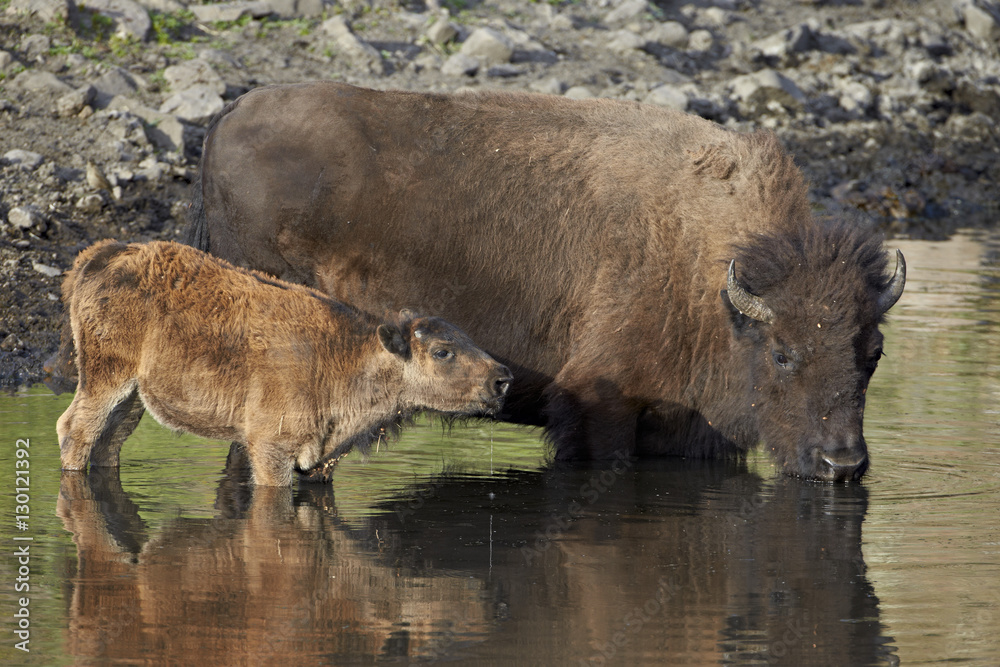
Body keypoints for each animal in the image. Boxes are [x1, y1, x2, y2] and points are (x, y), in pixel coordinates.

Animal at [56, 239, 512, 486]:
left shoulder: (322, 462)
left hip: (133, 395)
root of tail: (103, 254)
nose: (502, 380)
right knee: (76, 427)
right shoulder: (270, 449)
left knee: (110, 439)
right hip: (105, 377)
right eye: (442, 352)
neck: (342, 356)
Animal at [186, 82, 905, 482]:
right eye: (783, 352)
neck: (709, 275)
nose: (843, 465)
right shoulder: (600, 406)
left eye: (873, 354)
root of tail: (226, 118)